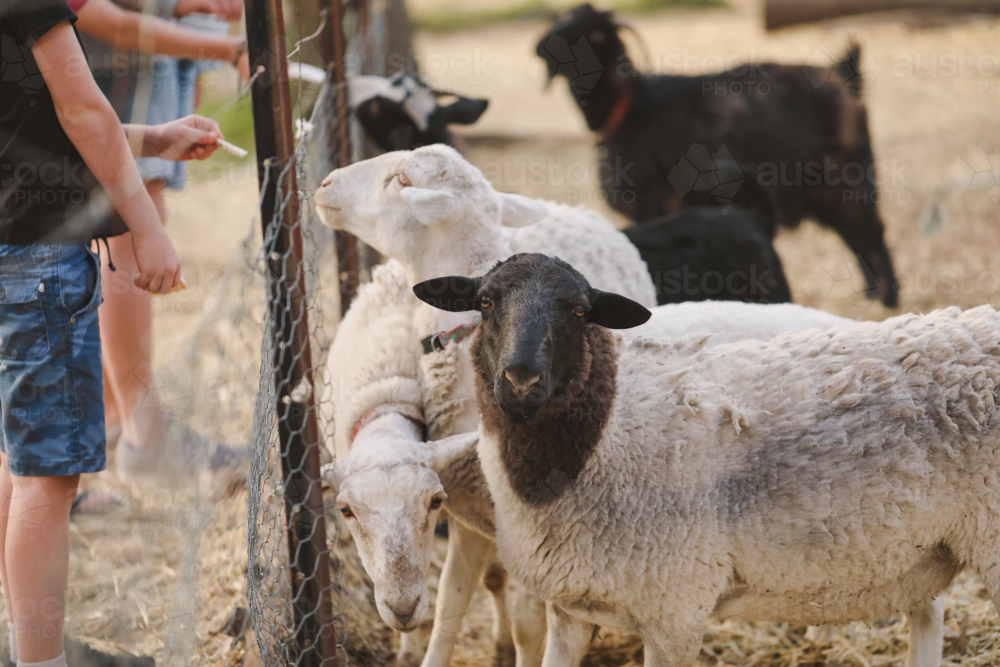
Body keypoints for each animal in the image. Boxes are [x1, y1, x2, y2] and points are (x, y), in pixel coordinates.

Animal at [414, 252, 1000, 667]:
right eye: (485, 303)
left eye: (579, 312)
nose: (520, 379)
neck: (598, 443)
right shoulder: (570, 609)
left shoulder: (674, 612)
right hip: (925, 547)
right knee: (928, 611)